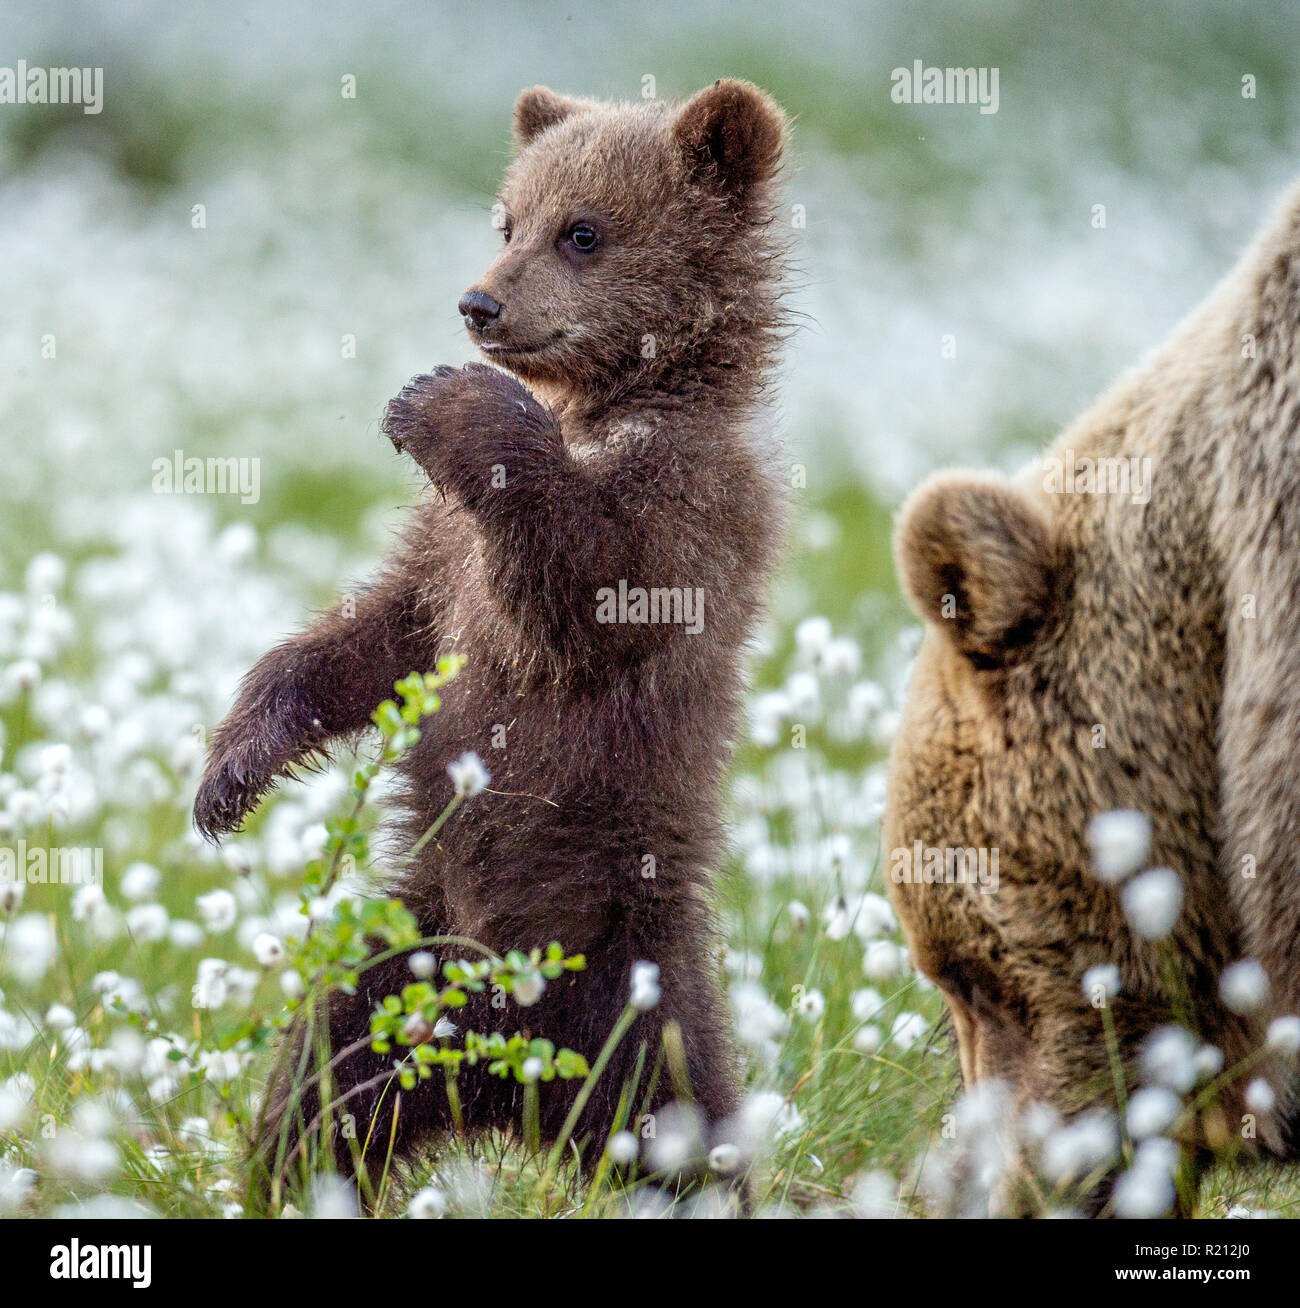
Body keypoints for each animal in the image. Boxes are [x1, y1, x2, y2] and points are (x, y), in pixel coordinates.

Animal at [192, 79, 790, 1201]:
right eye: (508, 219)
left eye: (583, 231)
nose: (479, 305)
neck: (609, 400)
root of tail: (512, 1078)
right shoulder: (442, 551)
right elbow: (383, 640)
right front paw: (232, 771)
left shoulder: (696, 503)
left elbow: (593, 592)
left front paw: (445, 400)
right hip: (408, 967)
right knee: (326, 1080)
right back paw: (287, 1175)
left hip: (632, 984)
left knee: (686, 1127)